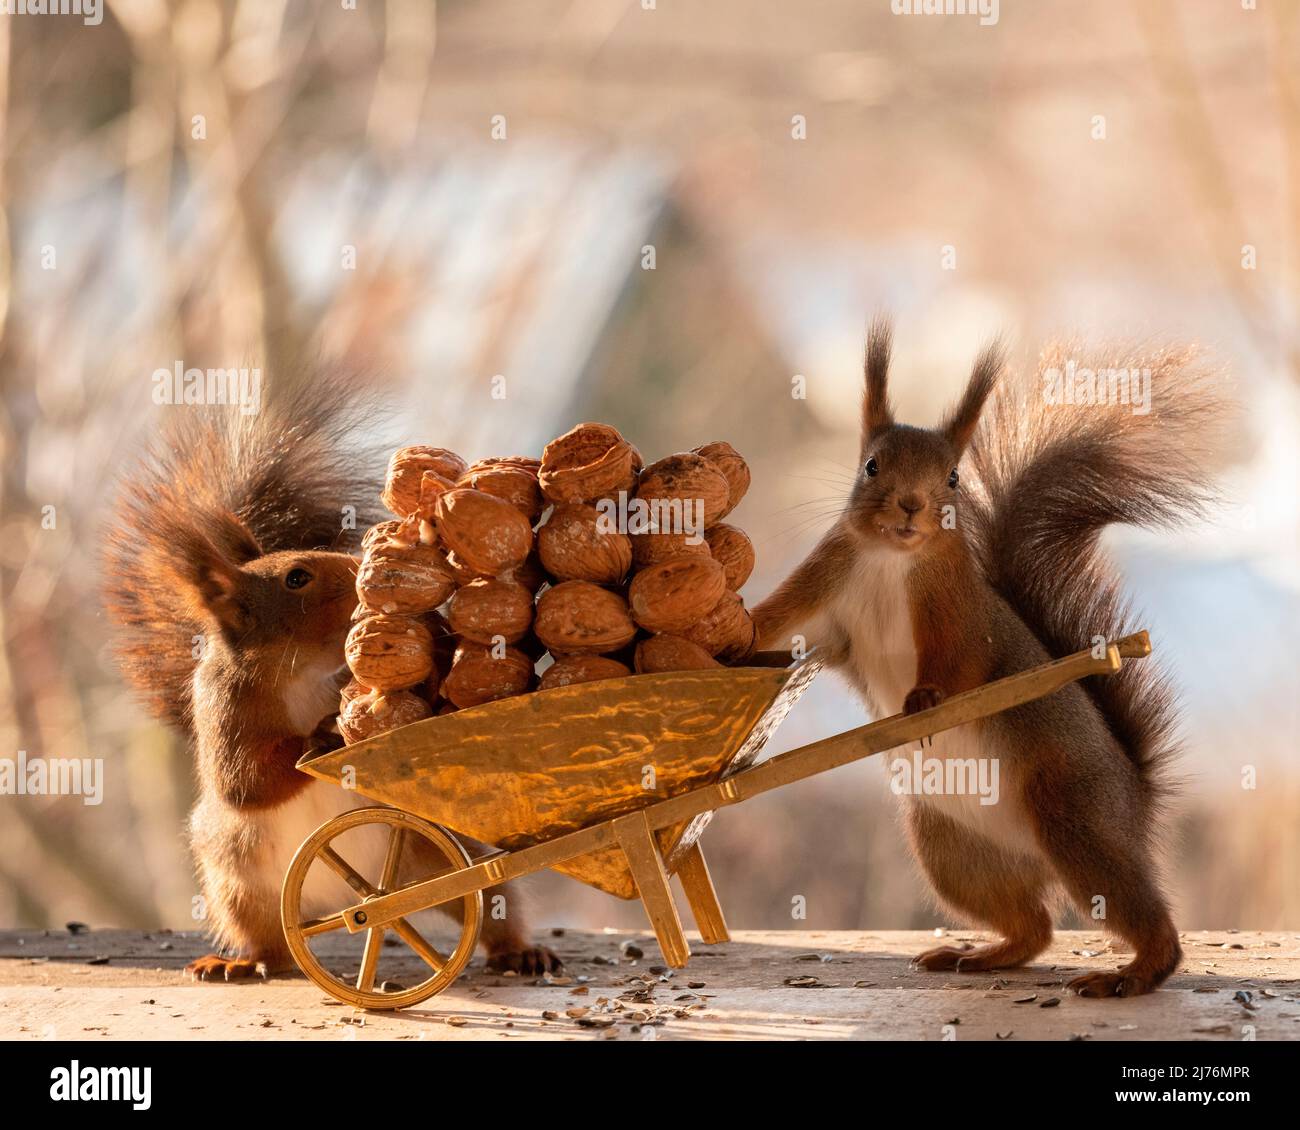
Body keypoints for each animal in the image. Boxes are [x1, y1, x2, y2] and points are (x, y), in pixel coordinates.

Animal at [102, 373, 560, 980]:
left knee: (489, 905)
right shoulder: (222, 706)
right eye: (297, 577)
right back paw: (241, 962)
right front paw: (320, 735)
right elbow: (245, 780)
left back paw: (519, 951)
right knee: (269, 941)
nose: (363, 570)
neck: (301, 668)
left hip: (443, 856)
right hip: (238, 882)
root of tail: (345, 899)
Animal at [753, 319, 1227, 997]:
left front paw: (925, 699)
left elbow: (962, 667)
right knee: (1033, 928)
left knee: (1142, 919)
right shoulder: (823, 595)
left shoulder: (962, 618)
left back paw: (1132, 974)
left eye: (952, 478)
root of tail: (1138, 798)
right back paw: (977, 956)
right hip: (953, 852)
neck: (893, 560)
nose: (910, 504)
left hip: (1074, 817)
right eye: (871, 465)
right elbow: (774, 628)